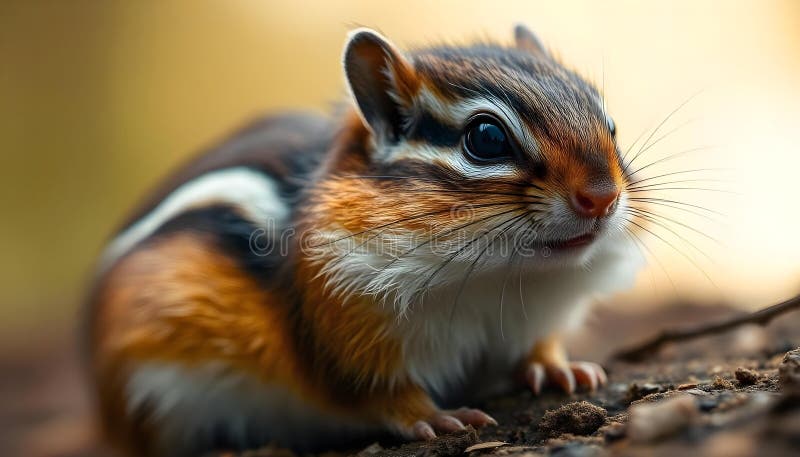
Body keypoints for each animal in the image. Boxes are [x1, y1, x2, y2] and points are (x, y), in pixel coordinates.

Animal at [84, 25, 643, 457]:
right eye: (486, 139)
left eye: (611, 125)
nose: (603, 196)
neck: (498, 278)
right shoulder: (331, 336)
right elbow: (368, 390)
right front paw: (433, 416)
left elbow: (540, 345)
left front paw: (560, 367)